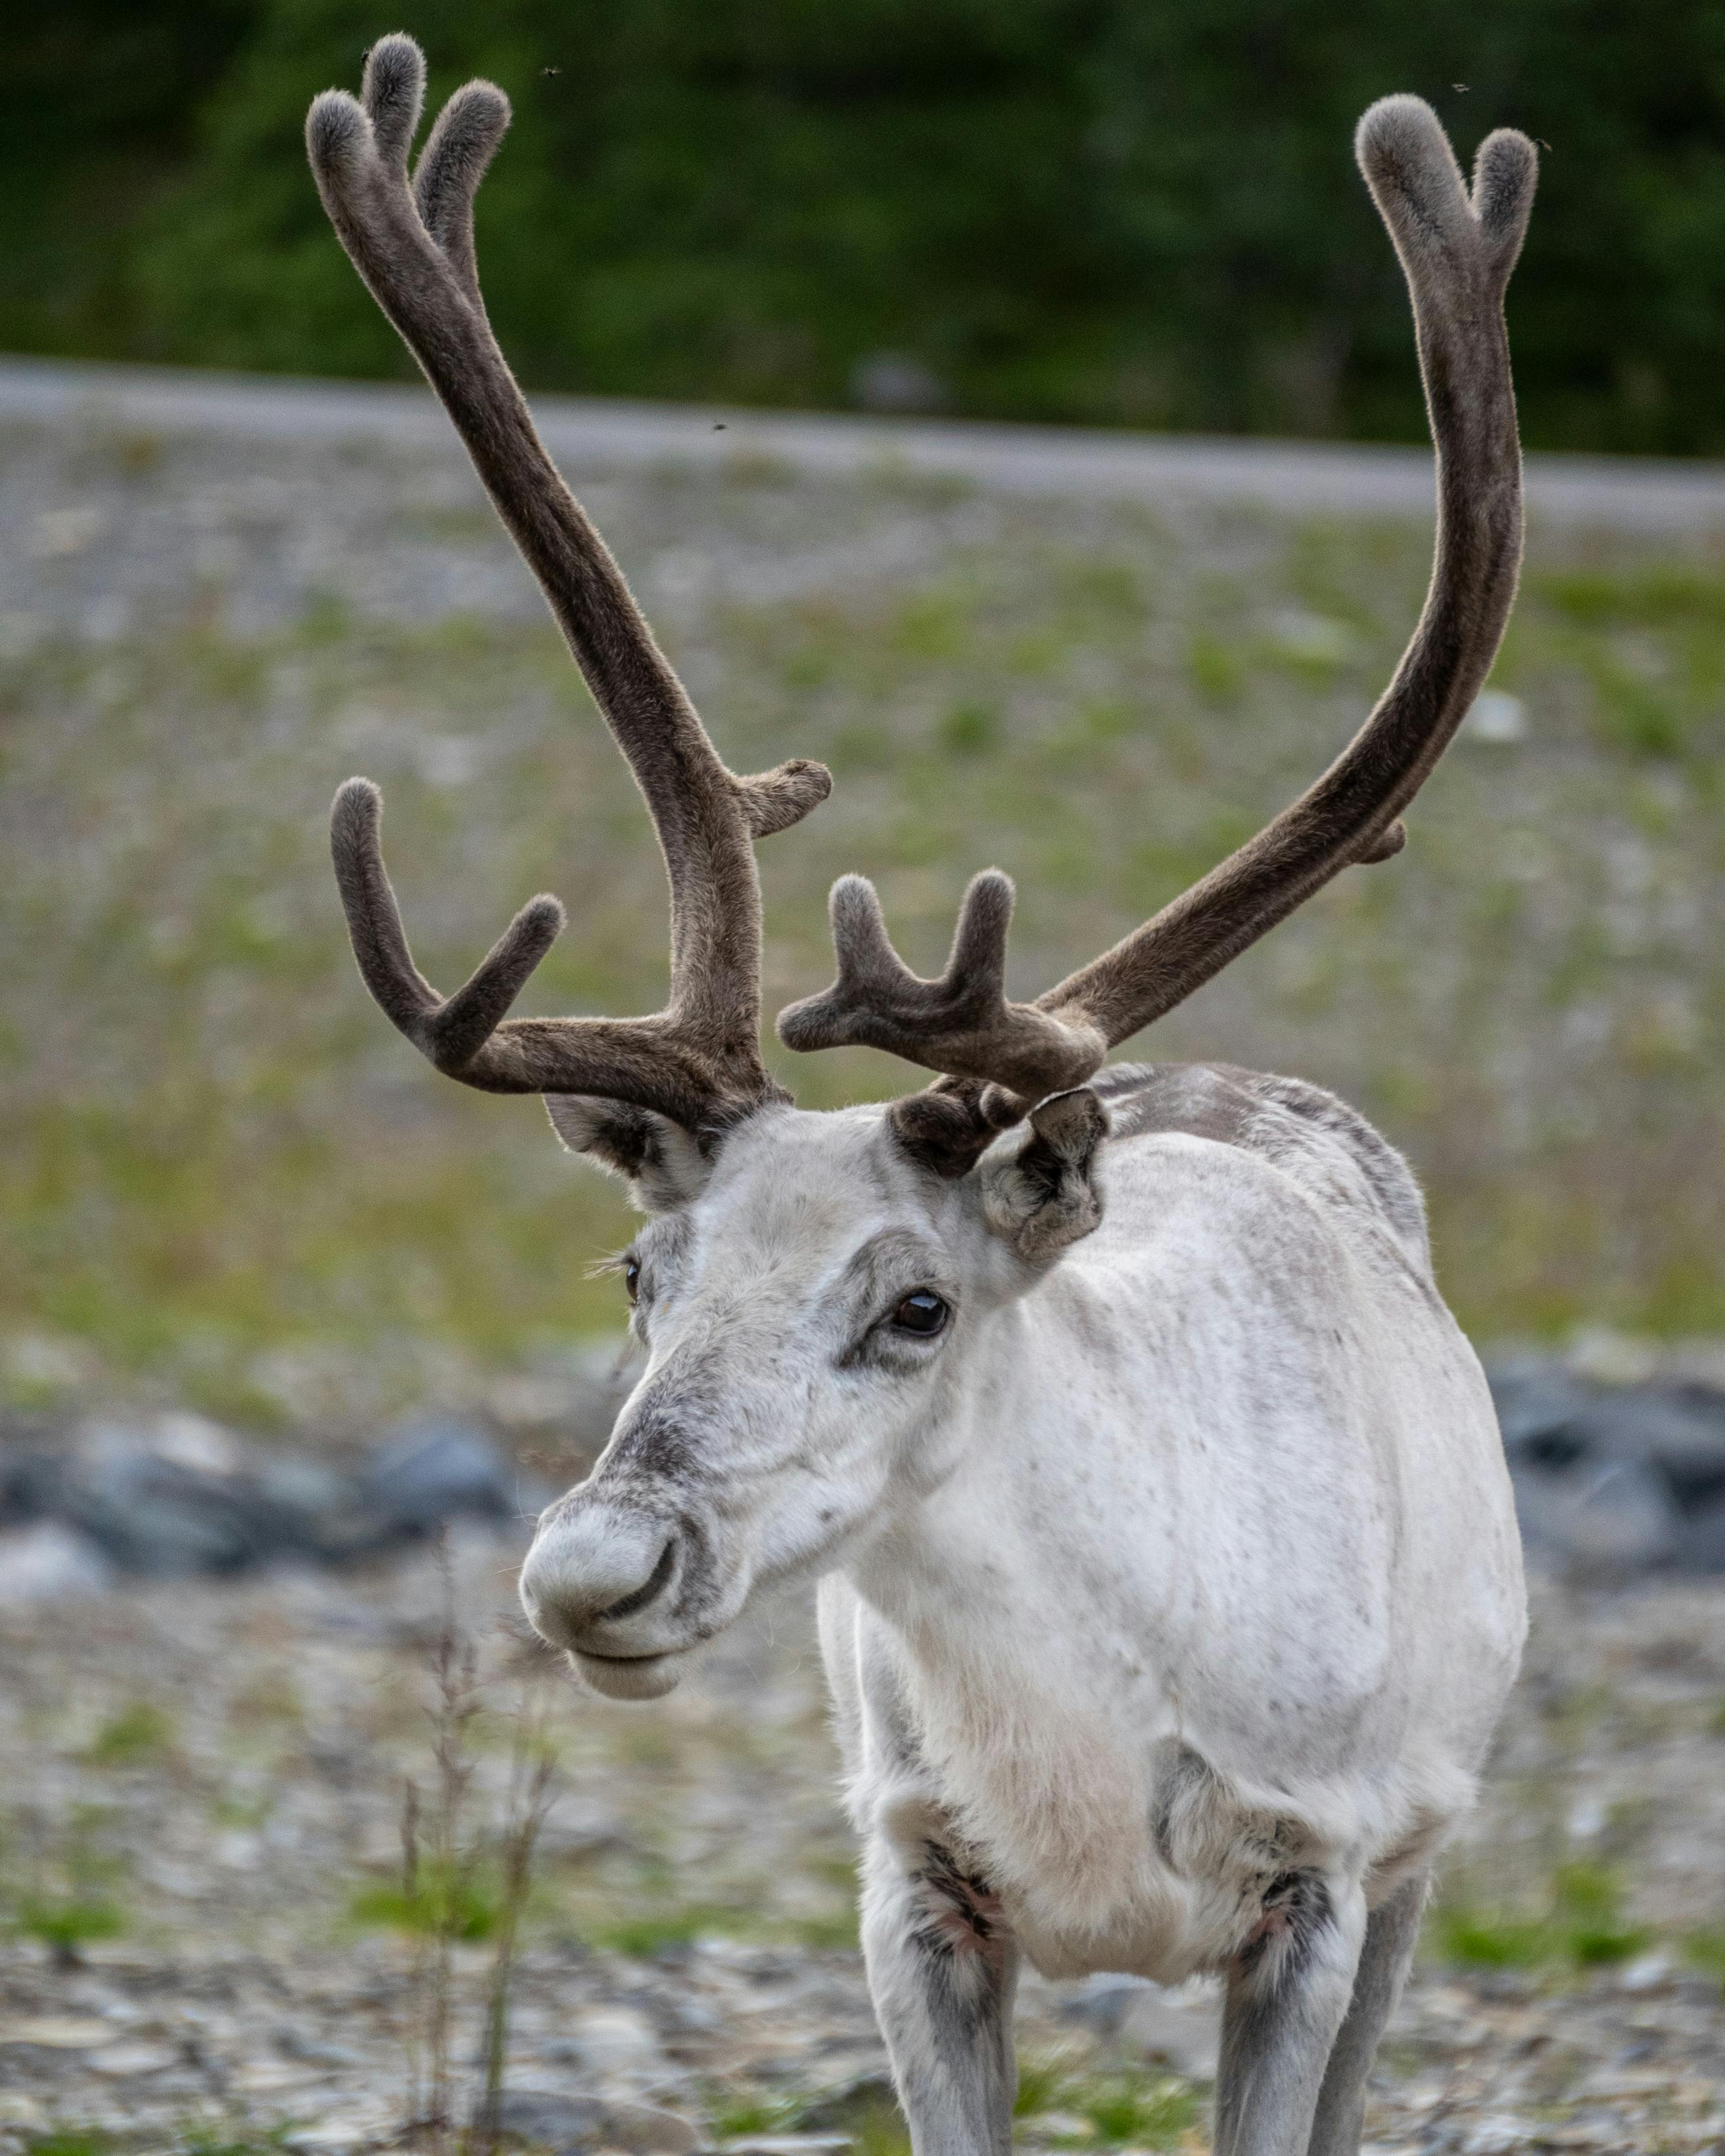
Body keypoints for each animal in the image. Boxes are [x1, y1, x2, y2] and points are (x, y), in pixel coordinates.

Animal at [306, 39, 1535, 2156]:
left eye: (916, 1304)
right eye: (637, 1276)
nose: (590, 1570)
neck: (1083, 1742)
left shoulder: (1317, 1875)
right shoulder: (911, 1881)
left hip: (1423, 1858)